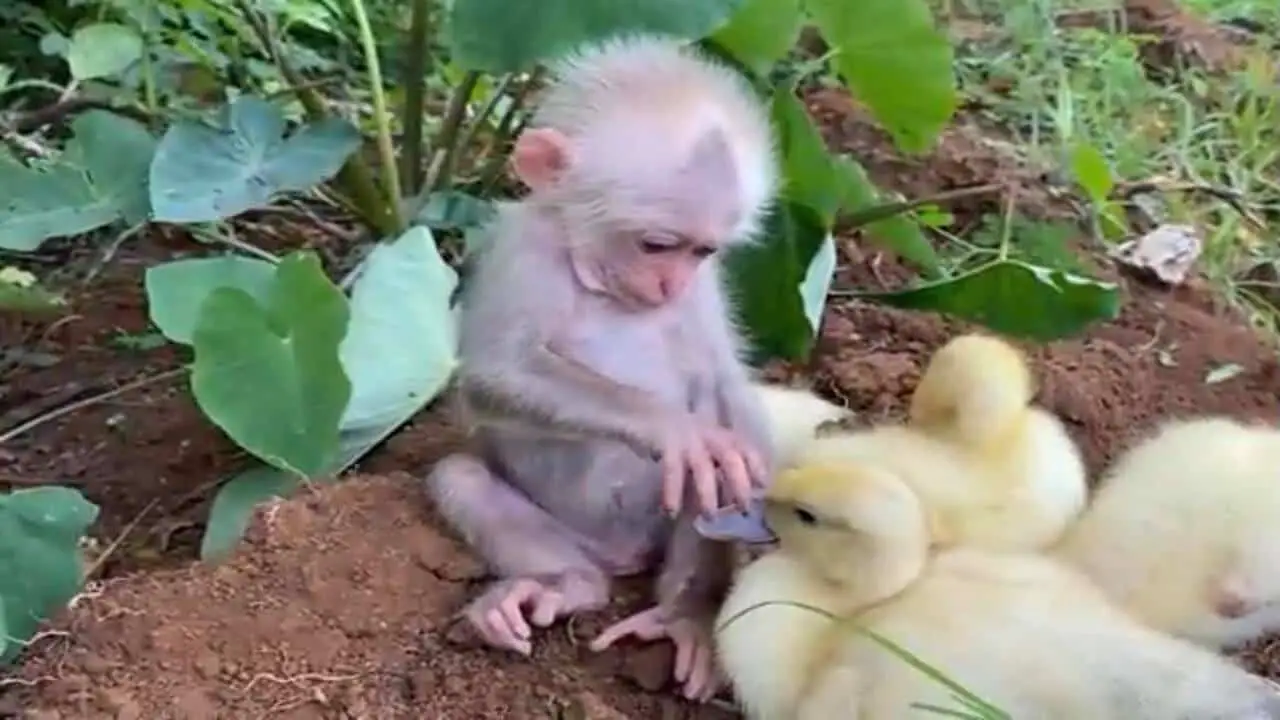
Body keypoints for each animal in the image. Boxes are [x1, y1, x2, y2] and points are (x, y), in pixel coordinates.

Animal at [422, 34, 780, 702]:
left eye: (704, 251)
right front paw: (670, 427)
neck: (604, 283)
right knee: (461, 476)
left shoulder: (704, 289)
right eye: (656, 245)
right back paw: (565, 584)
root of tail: (623, 552)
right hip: (570, 530)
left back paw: (685, 612)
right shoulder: (524, 247)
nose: (669, 286)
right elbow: (491, 375)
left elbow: (726, 391)